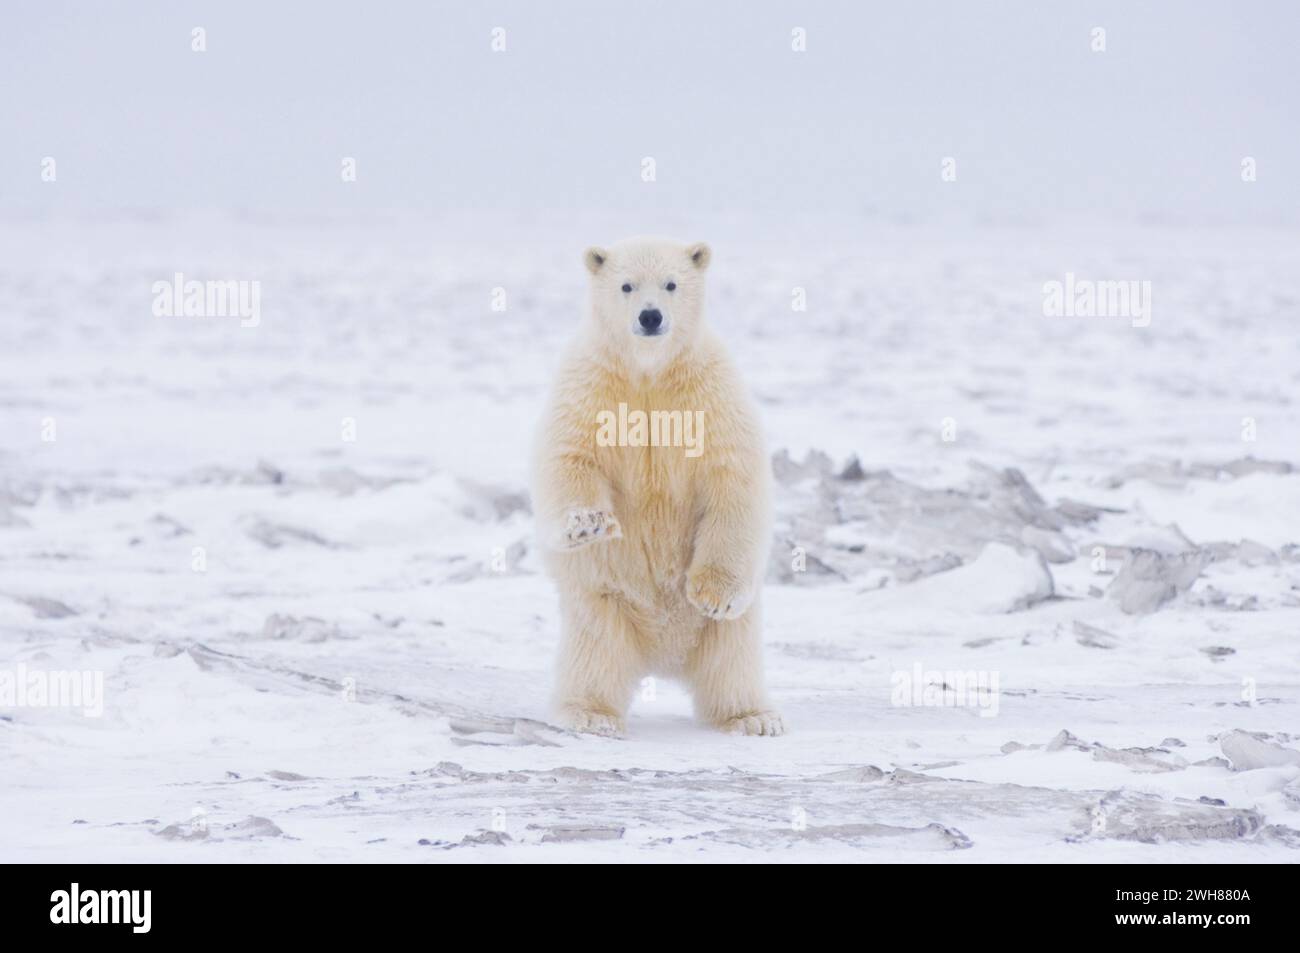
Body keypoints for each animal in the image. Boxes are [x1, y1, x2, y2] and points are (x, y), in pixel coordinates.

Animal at [532, 236, 783, 737]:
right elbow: (569, 454)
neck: (649, 372)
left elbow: (732, 477)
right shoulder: (592, 384)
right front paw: (587, 523)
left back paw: (753, 717)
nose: (651, 317)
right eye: (627, 285)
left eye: (671, 283)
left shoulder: (708, 392)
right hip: (603, 602)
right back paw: (590, 714)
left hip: (730, 629)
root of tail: (663, 659)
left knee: (733, 658)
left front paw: (714, 595)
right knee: (595, 653)